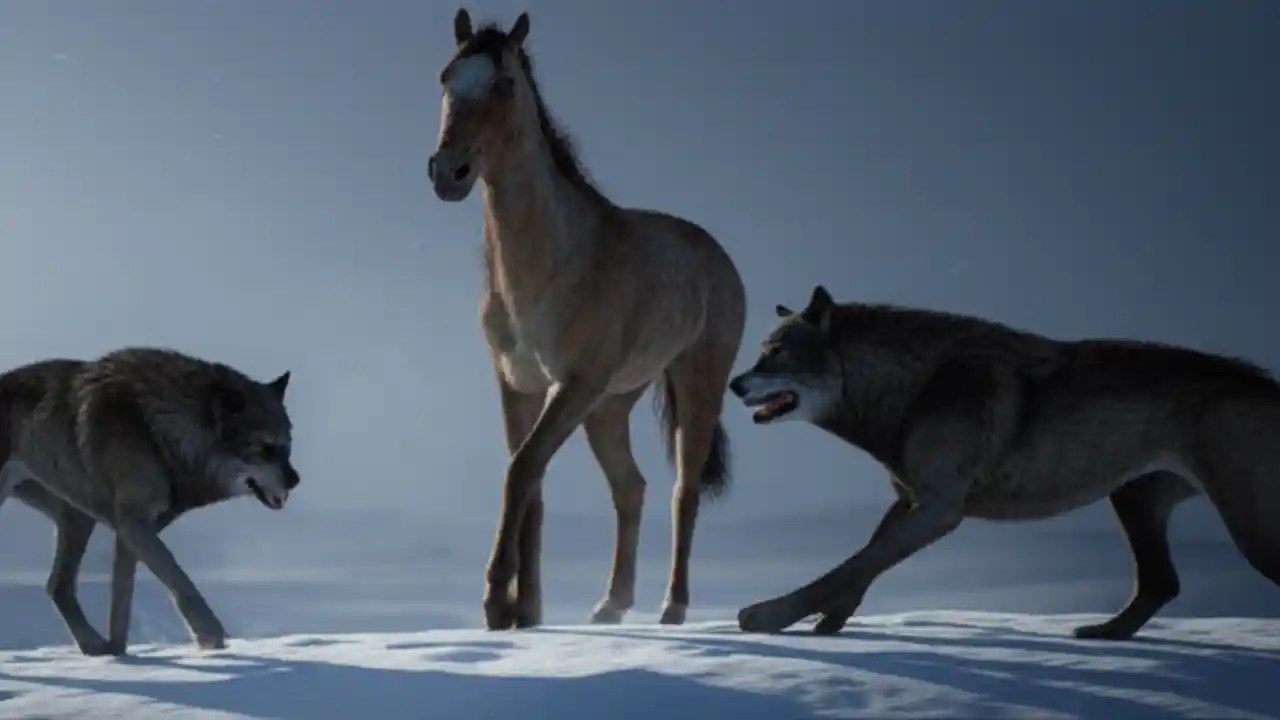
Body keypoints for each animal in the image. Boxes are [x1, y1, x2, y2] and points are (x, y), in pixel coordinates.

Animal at [0, 347, 300, 655]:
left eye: (287, 446)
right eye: (265, 448)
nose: (295, 480)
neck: (160, 430)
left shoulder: (128, 532)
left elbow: (122, 603)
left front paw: (118, 654)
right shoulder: (133, 524)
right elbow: (178, 579)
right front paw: (210, 637)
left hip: (77, 518)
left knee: (57, 586)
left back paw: (93, 646)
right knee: (58, 585)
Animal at [728, 285, 1280, 639]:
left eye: (775, 352)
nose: (733, 384)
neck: (913, 391)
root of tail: (1269, 383)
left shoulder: (940, 508)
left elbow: (851, 566)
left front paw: (769, 616)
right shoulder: (908, 499)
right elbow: (861, 565)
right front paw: (829, 626)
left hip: (1249, 532)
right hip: (1133, 502)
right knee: (1161, 583)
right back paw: (1104, 634)